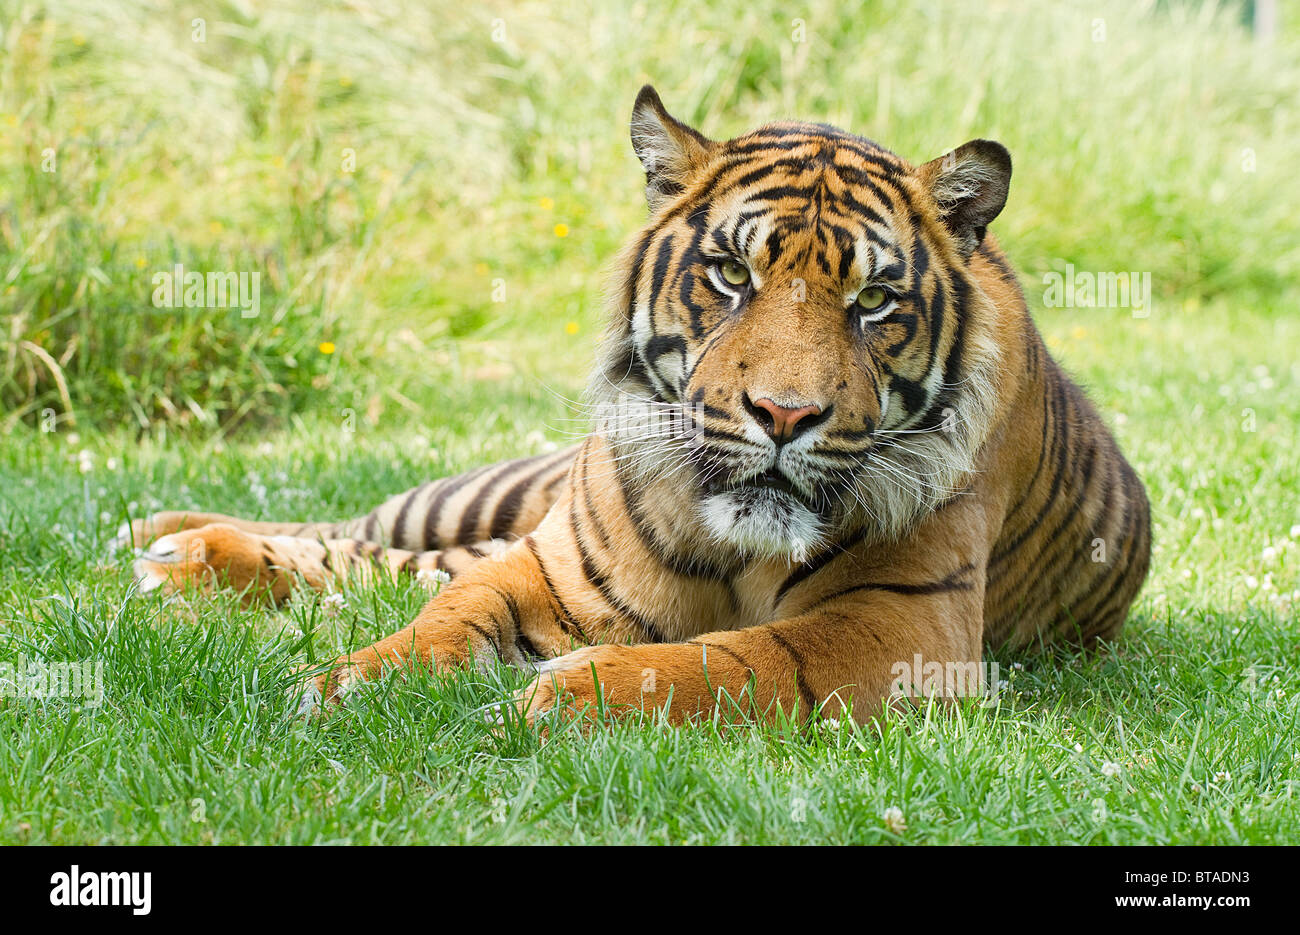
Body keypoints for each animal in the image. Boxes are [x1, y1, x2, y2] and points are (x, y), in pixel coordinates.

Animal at [126, 86, 1151, 724]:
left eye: (872, 301)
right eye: (732, 273)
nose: (784, 414)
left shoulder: (905, 625)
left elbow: (739, 659)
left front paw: (565, 694)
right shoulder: (551, 564)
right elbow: (446, 616)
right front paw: (350, 682)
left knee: (382, 559)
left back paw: (173, 552)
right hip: (491, 501)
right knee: (368, 536)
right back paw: (167, 535)